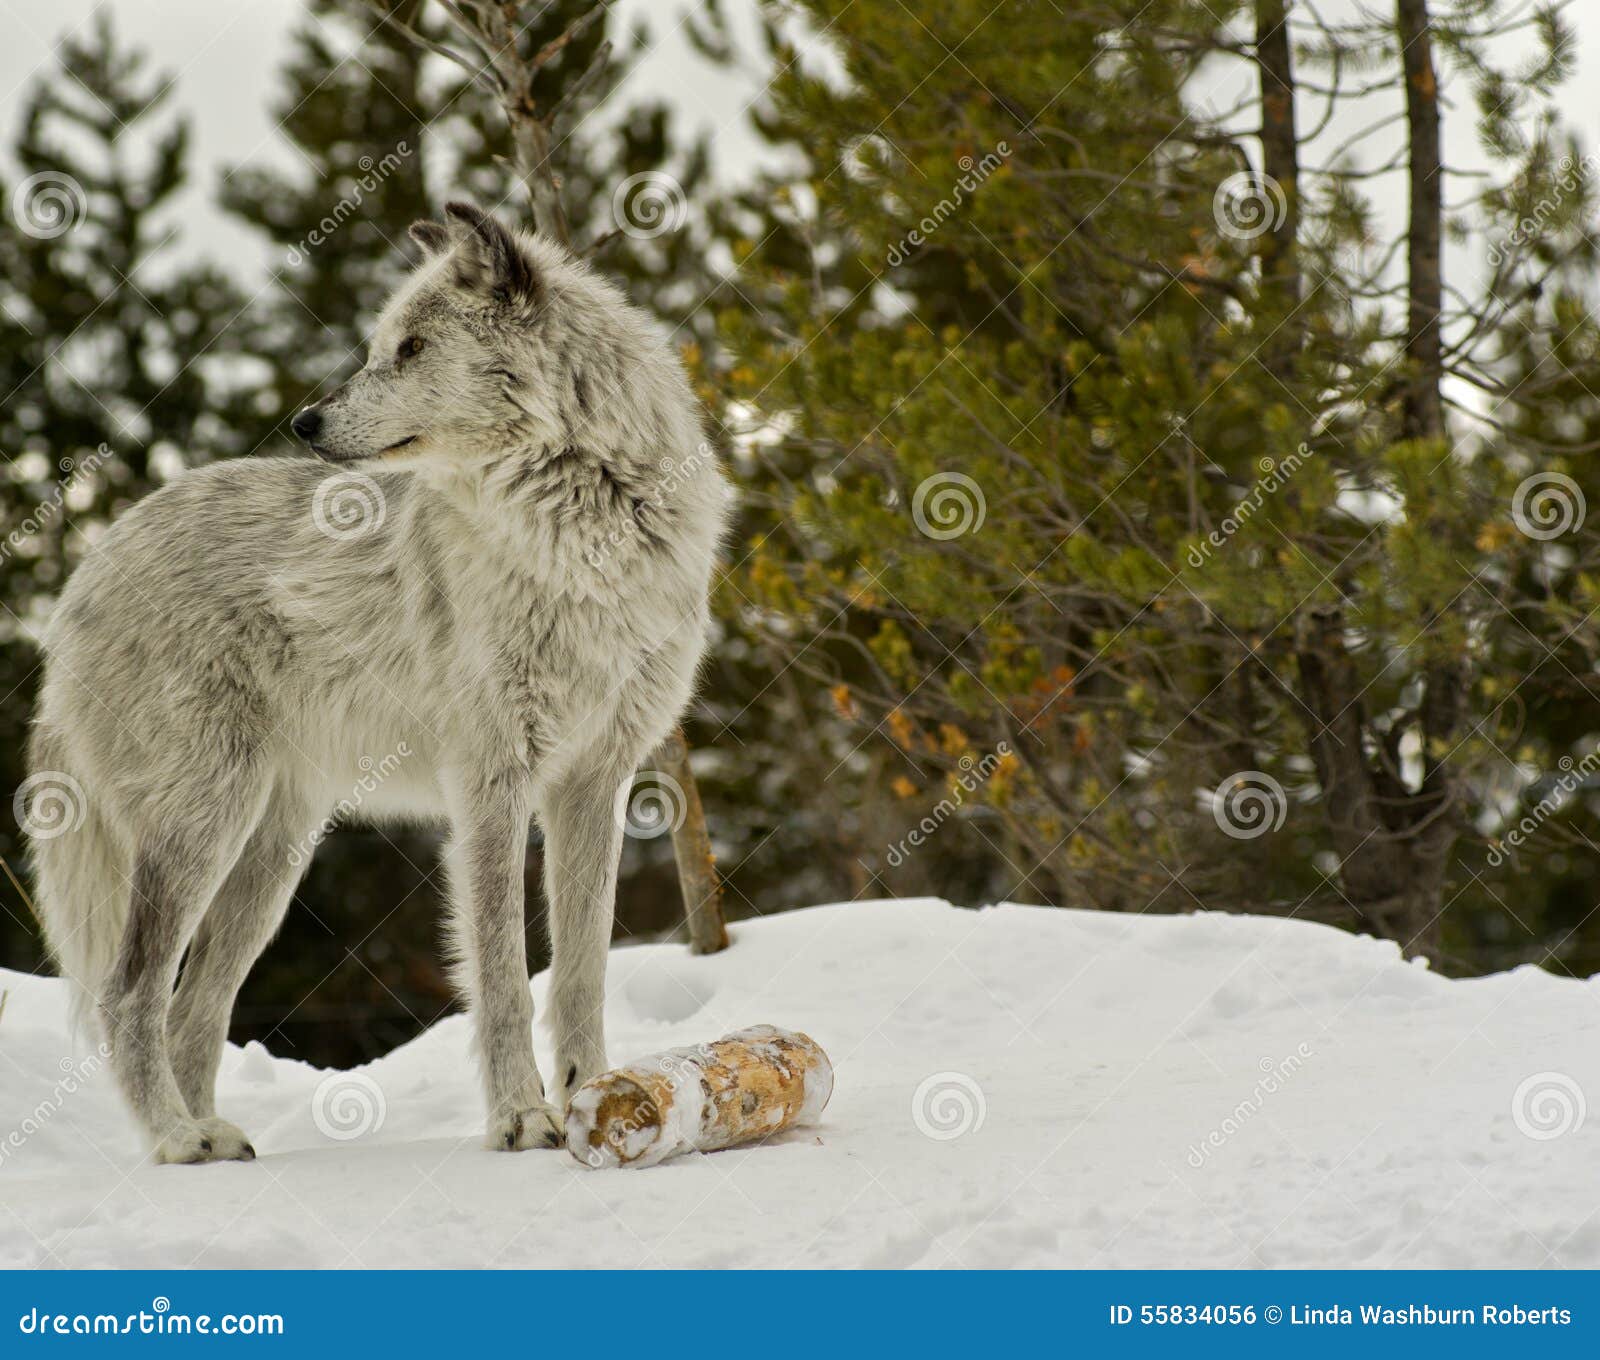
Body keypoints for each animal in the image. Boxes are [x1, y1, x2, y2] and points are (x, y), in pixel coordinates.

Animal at [26, 202, 728, 1164]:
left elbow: (579, 974)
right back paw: (178, 1140)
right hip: (206, 825)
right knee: (129, 994)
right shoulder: (491, 783)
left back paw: (212, 1136)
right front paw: (522, 1120)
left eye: (412, 349)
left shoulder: (595, 780)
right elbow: (504, 975)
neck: (580, 530)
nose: (305, 423)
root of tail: (81, 578)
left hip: (271, 859)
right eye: (381, 346)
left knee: (190, 1010)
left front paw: (595, 1100)